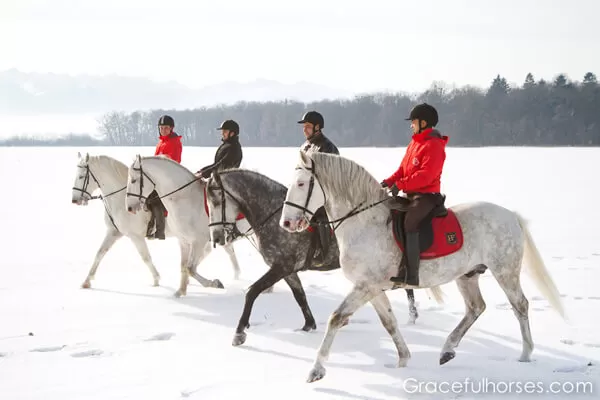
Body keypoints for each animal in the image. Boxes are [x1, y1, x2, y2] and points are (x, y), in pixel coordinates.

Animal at [72, 152, 244, 290]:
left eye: (81, 176)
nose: (74, 200)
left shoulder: (135, 236)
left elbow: (146, 257)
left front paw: (156, 279)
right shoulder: (114, 232)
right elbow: (100, 253)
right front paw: (86, 281)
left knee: (226, 250)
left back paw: (233, 276)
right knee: (215, 251)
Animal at [125, 155, 256, 296]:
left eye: (133, 180)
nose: (129, 208)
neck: (186, 198)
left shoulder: (198, 241)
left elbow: (190, 268)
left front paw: (214, 283)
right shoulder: (184, 241)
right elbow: (184, 266)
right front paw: (180, 292)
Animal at [278, 152, 564, 382]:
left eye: (301, 183)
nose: (286, 224)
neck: (364, 223)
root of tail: (511, 215)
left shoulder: (366, 286)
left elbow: (336, 318)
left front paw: (316, 370)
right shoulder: (373, 288)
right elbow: (389, 322)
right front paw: (403, 359)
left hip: (505, 271)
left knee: (520, 305)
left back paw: (525, 354)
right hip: (467, 274)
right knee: (476, 307)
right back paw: (447, 350)